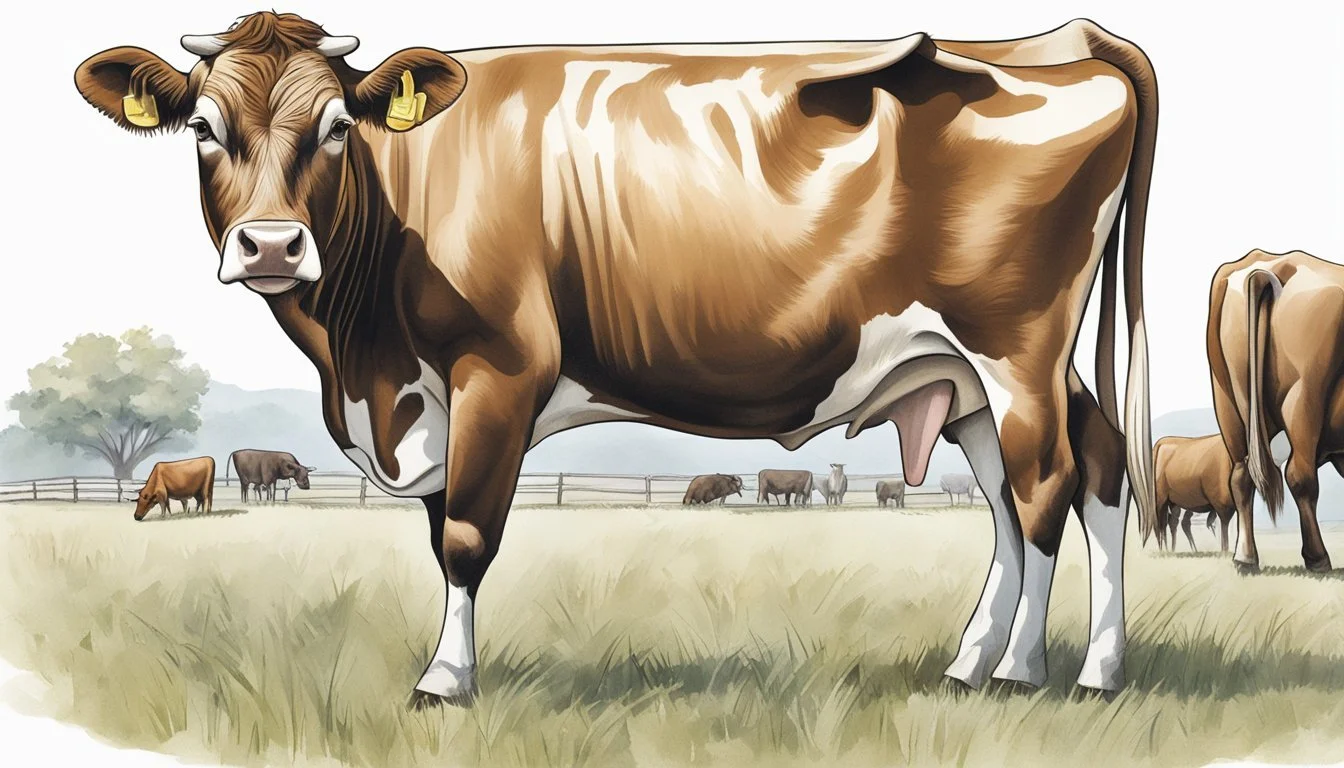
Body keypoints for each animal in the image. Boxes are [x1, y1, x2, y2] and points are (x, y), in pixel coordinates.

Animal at [75, 13, 1157, 704]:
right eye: (204, 128)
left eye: (338, 127)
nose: (269, 246)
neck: (362, 365)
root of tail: (1058, 42)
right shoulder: (431, 400)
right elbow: (437, 531)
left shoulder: (497, 371)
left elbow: (465, 536)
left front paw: (446, 681)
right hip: (966, 372)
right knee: (1069, 479)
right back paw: (1055, 669)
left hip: (1016, 345)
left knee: (1047, 485)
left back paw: (1021, 671)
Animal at [1194, 249, 1344, 574]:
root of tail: (1268, 266)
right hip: (1303, 396)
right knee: (1300, 475)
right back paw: (1318, 558)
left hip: (1228, 402)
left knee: (1241, 476)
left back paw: (1245, 557)